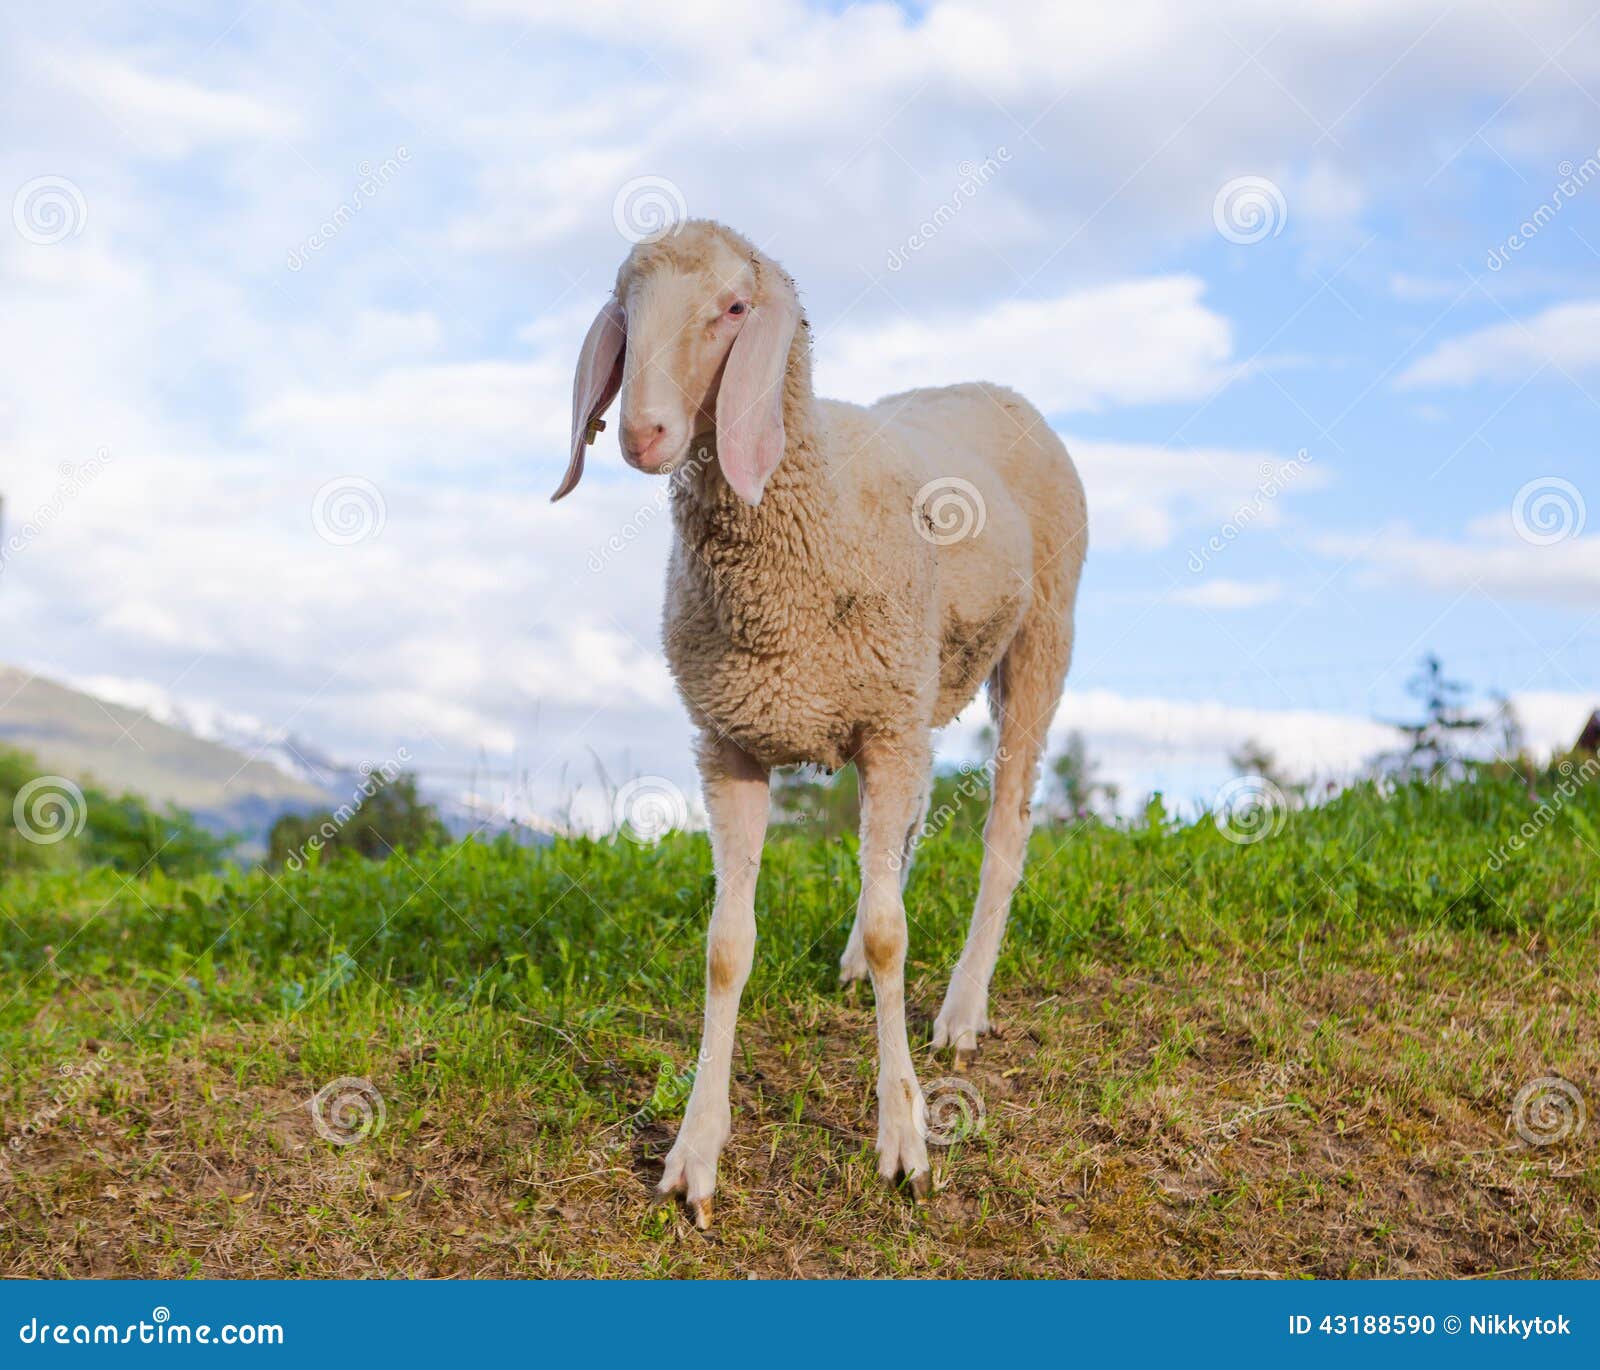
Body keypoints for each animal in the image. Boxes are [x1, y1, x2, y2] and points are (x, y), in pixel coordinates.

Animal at [553, 220, 1087, 1226]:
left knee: (1007, 828)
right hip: (921, 686)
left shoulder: (882, 725)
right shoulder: (730, 740)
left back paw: (961, 1011)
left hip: (1040, 638)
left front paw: (905, 1141)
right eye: (623, 310)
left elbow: (891, 934)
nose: (641, 434)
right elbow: (727, 949)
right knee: (910, 828)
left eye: (733, 308)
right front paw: (695, 1153)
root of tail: (994, 385)